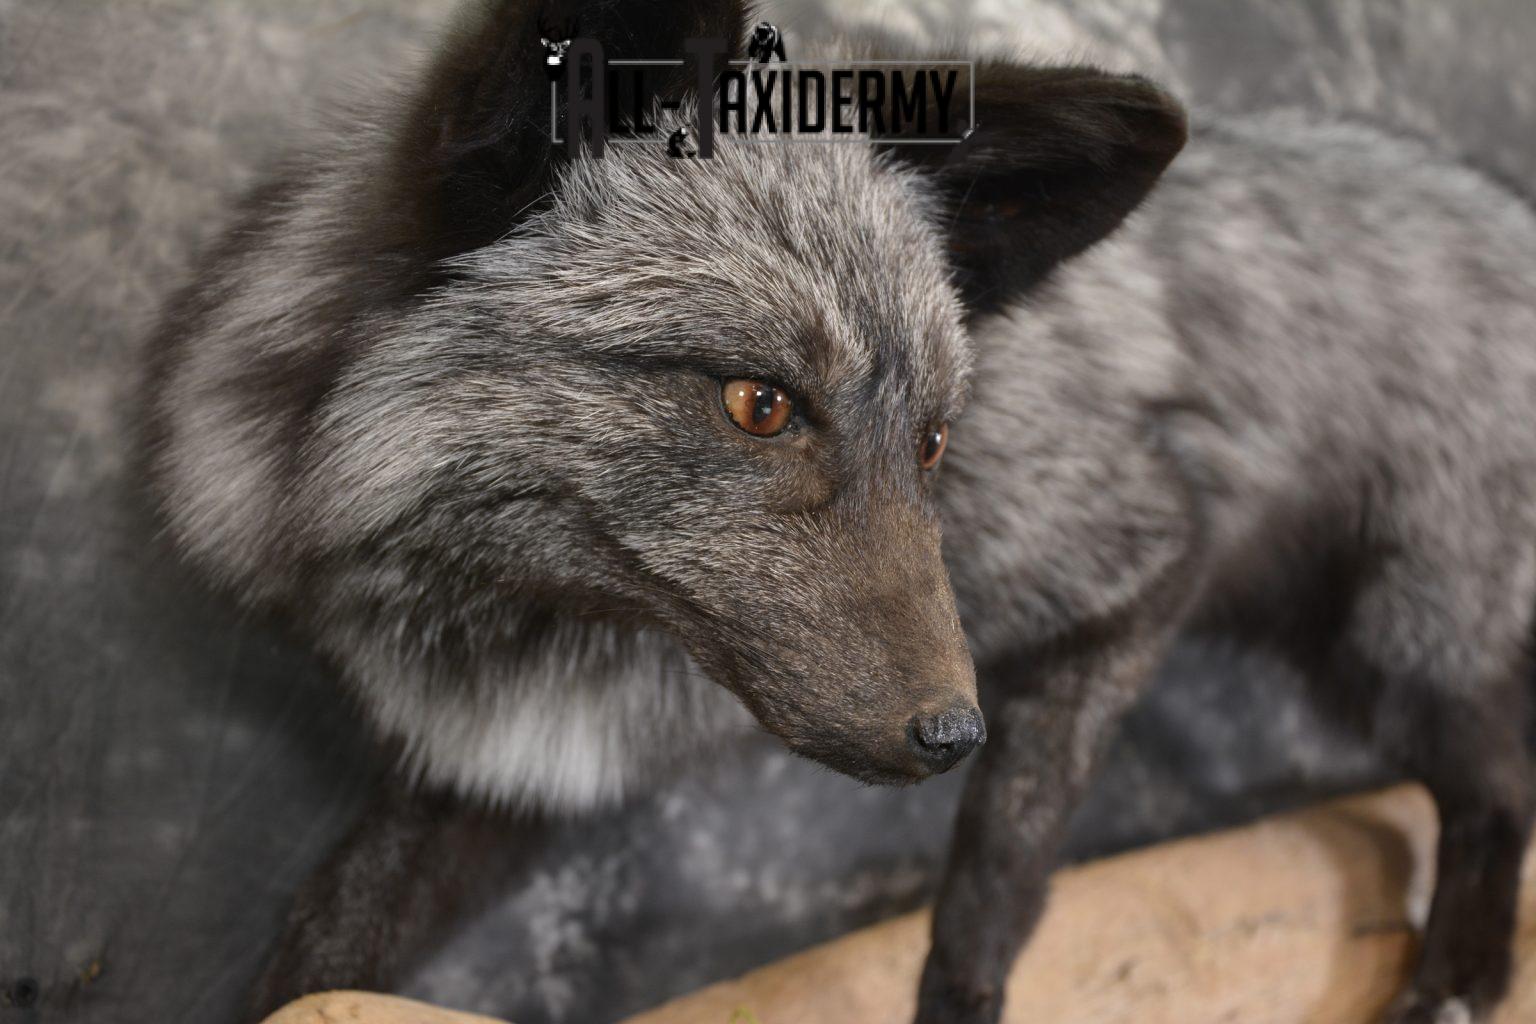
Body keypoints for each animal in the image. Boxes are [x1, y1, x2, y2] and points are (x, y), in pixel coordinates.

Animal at [140, 0, 1536, 1022]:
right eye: (760, 402)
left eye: (934, 442)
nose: (953, 732)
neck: (527, 617)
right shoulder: (491, 772)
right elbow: (321, 951)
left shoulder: (1142, 548)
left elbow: (1002, 858)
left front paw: (961, 986)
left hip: (1397, 648)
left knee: (1502, 787)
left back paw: (1458, 980)